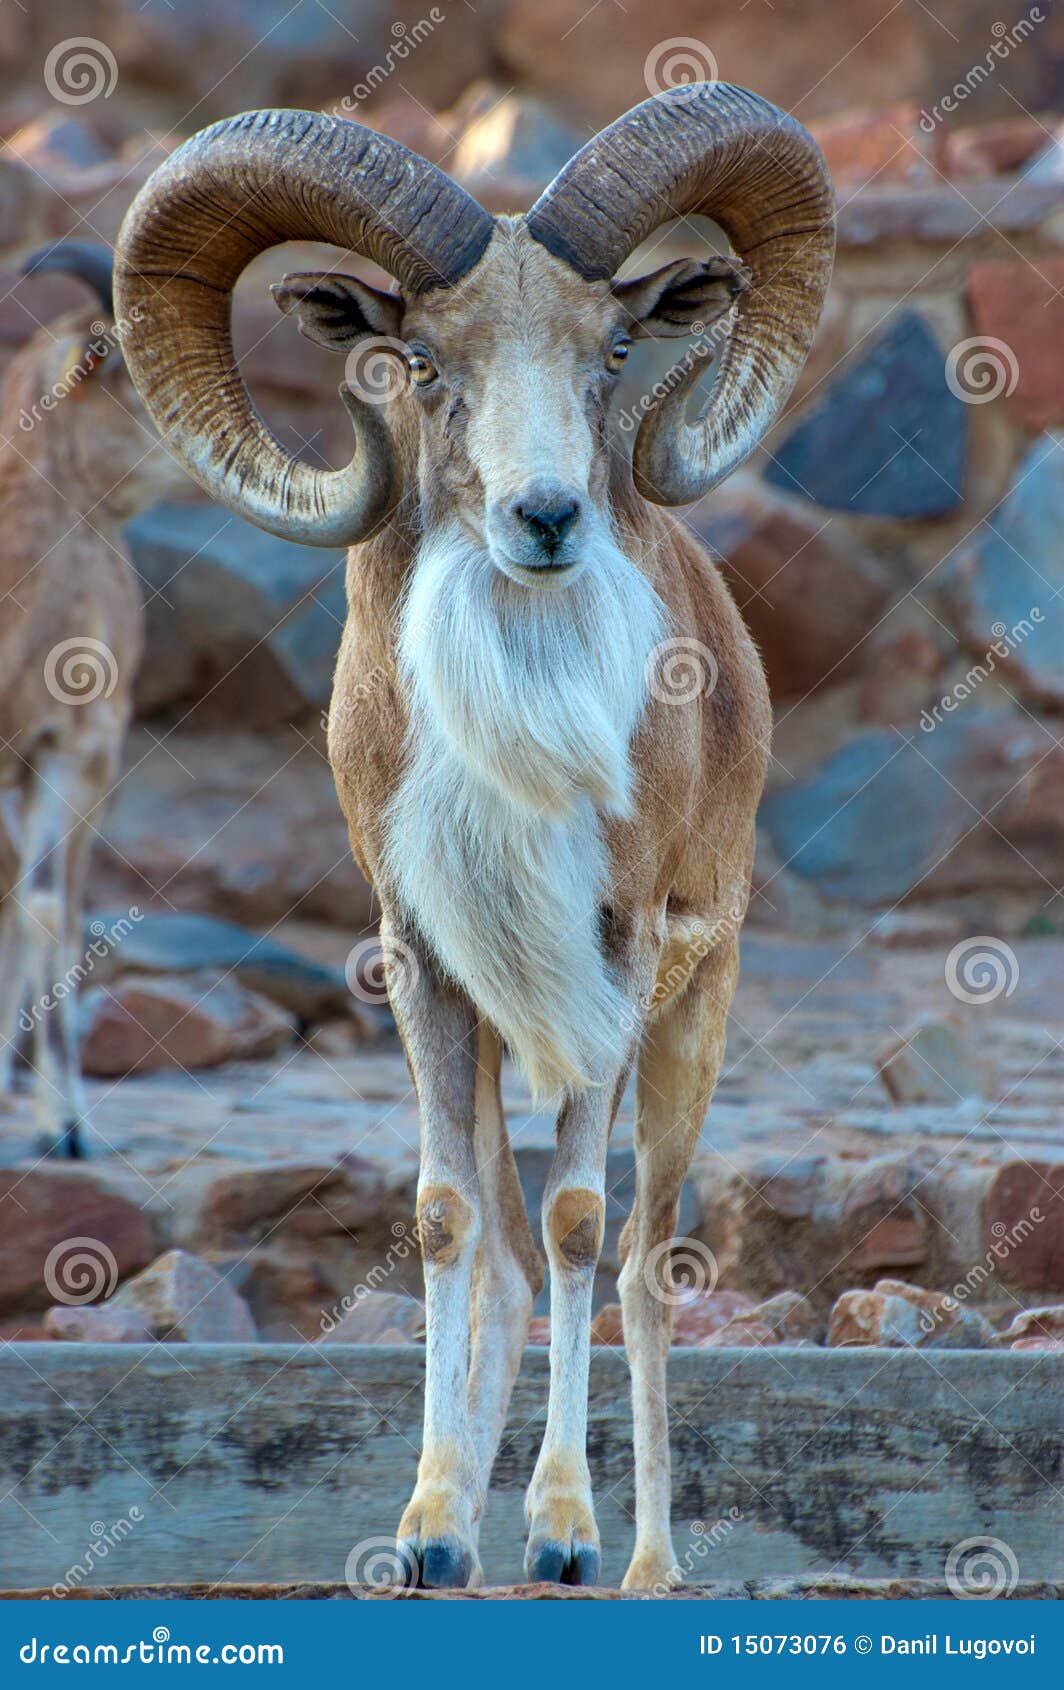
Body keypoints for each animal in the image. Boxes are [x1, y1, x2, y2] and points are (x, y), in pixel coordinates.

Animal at [114, 86, 834, 1590]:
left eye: (610, 350)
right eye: (426, 365)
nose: (543, 515)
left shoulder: (609, 964)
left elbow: (575, 1225)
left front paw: (557, 1536)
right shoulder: (430, 965)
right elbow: (452, 1223)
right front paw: (434, 1532)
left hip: (691, 1030)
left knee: (642, 1261)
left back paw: (645, 1568)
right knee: (504, 1239)